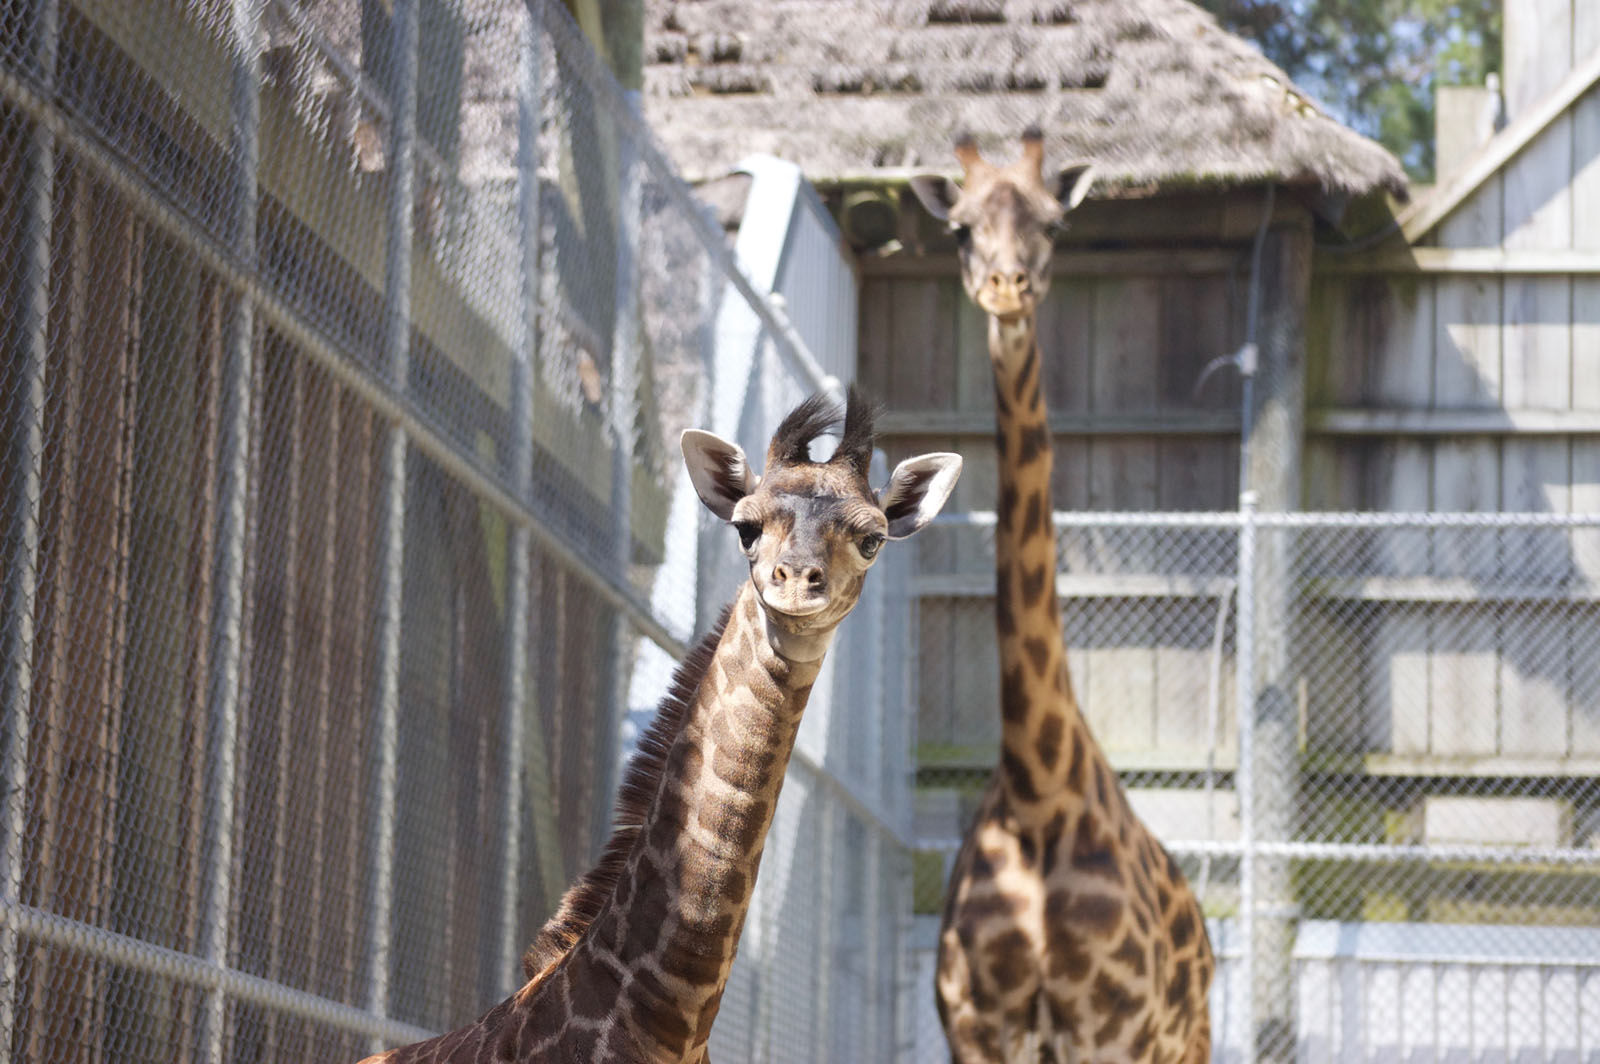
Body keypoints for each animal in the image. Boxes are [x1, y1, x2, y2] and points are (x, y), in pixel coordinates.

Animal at [909, 132, 1215, 1063]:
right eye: (962, 229)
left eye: (1051, 223)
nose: (1007, 288)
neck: (1040, 794)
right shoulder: (979, 1029)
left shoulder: (1111, 1031)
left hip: (1190, 1042)